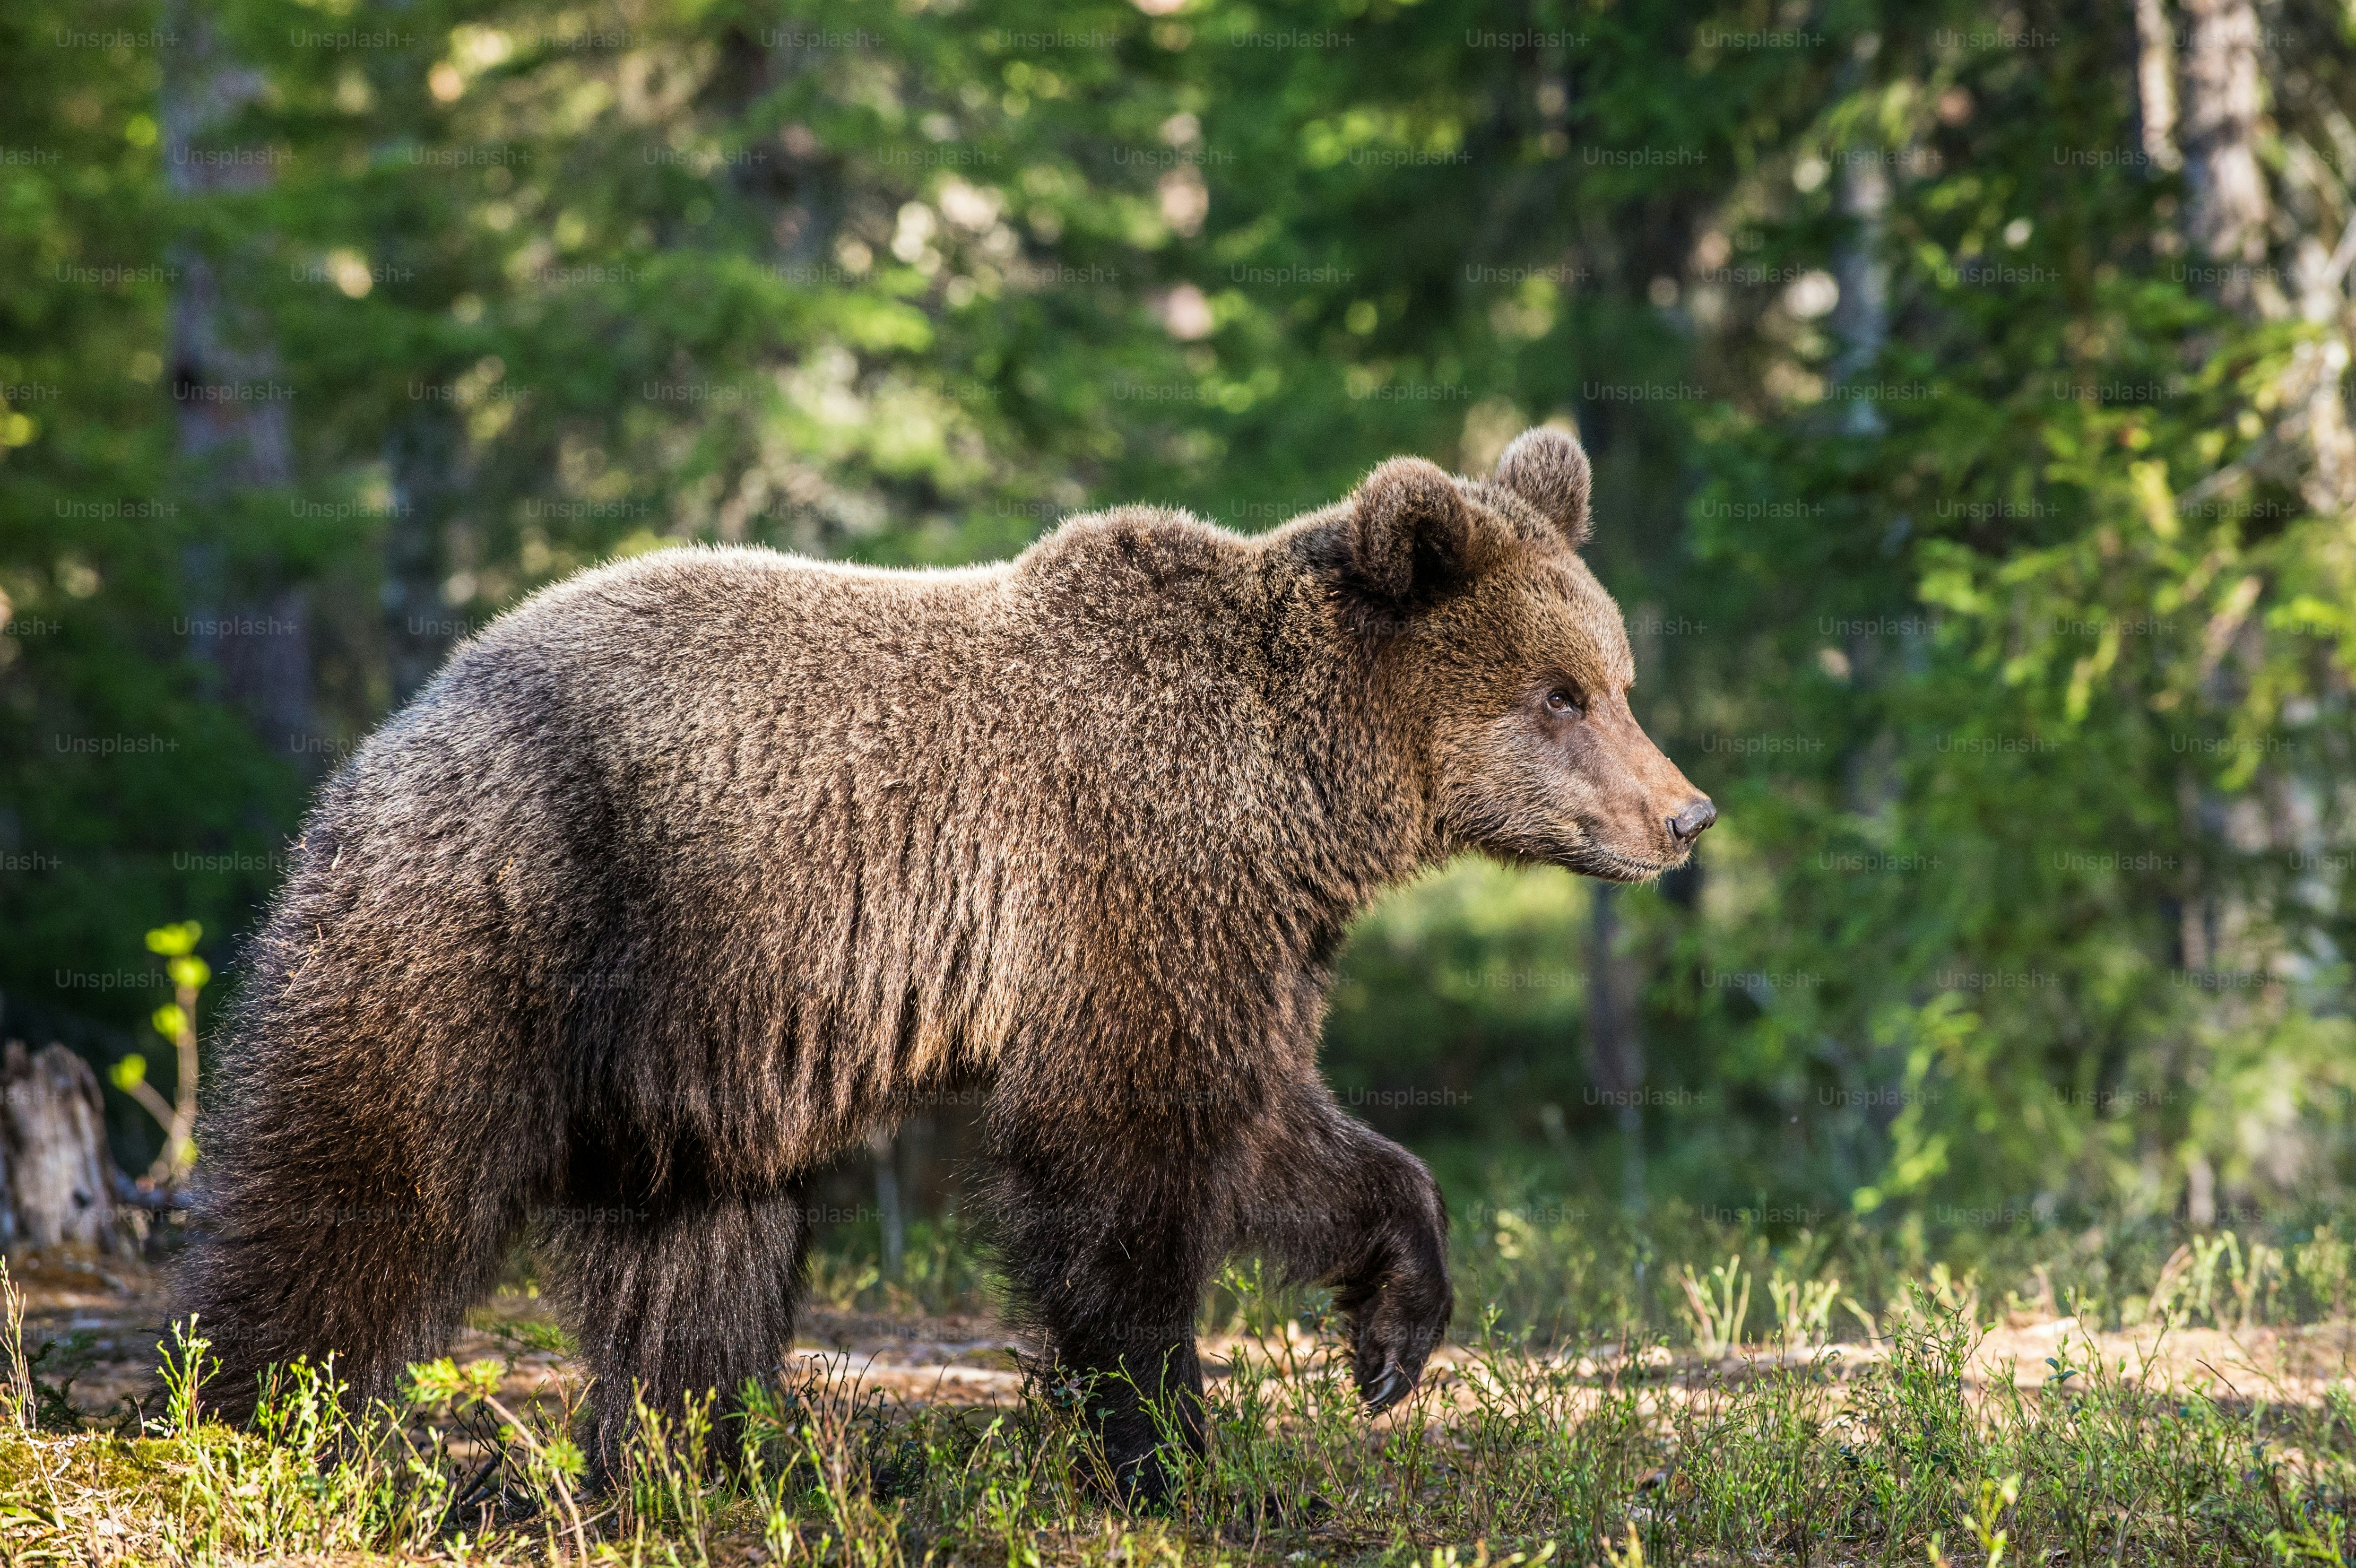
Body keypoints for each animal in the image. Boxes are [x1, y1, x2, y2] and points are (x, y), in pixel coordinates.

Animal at [180, 426, 1713, 1500]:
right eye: (1559, 694)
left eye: (1617, 678)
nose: (1686, 815)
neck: (1298, 792)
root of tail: (399, 729)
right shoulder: (1123, 874)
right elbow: (1118, 1170)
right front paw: (1174, 1450)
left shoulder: (1240, 934)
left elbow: (1286, 1136)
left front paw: (1392, 1333)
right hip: (510, 931)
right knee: (363, 1181)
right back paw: (261, 1428)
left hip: (686, 1043)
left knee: (694, 1261)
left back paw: (702, 1459)